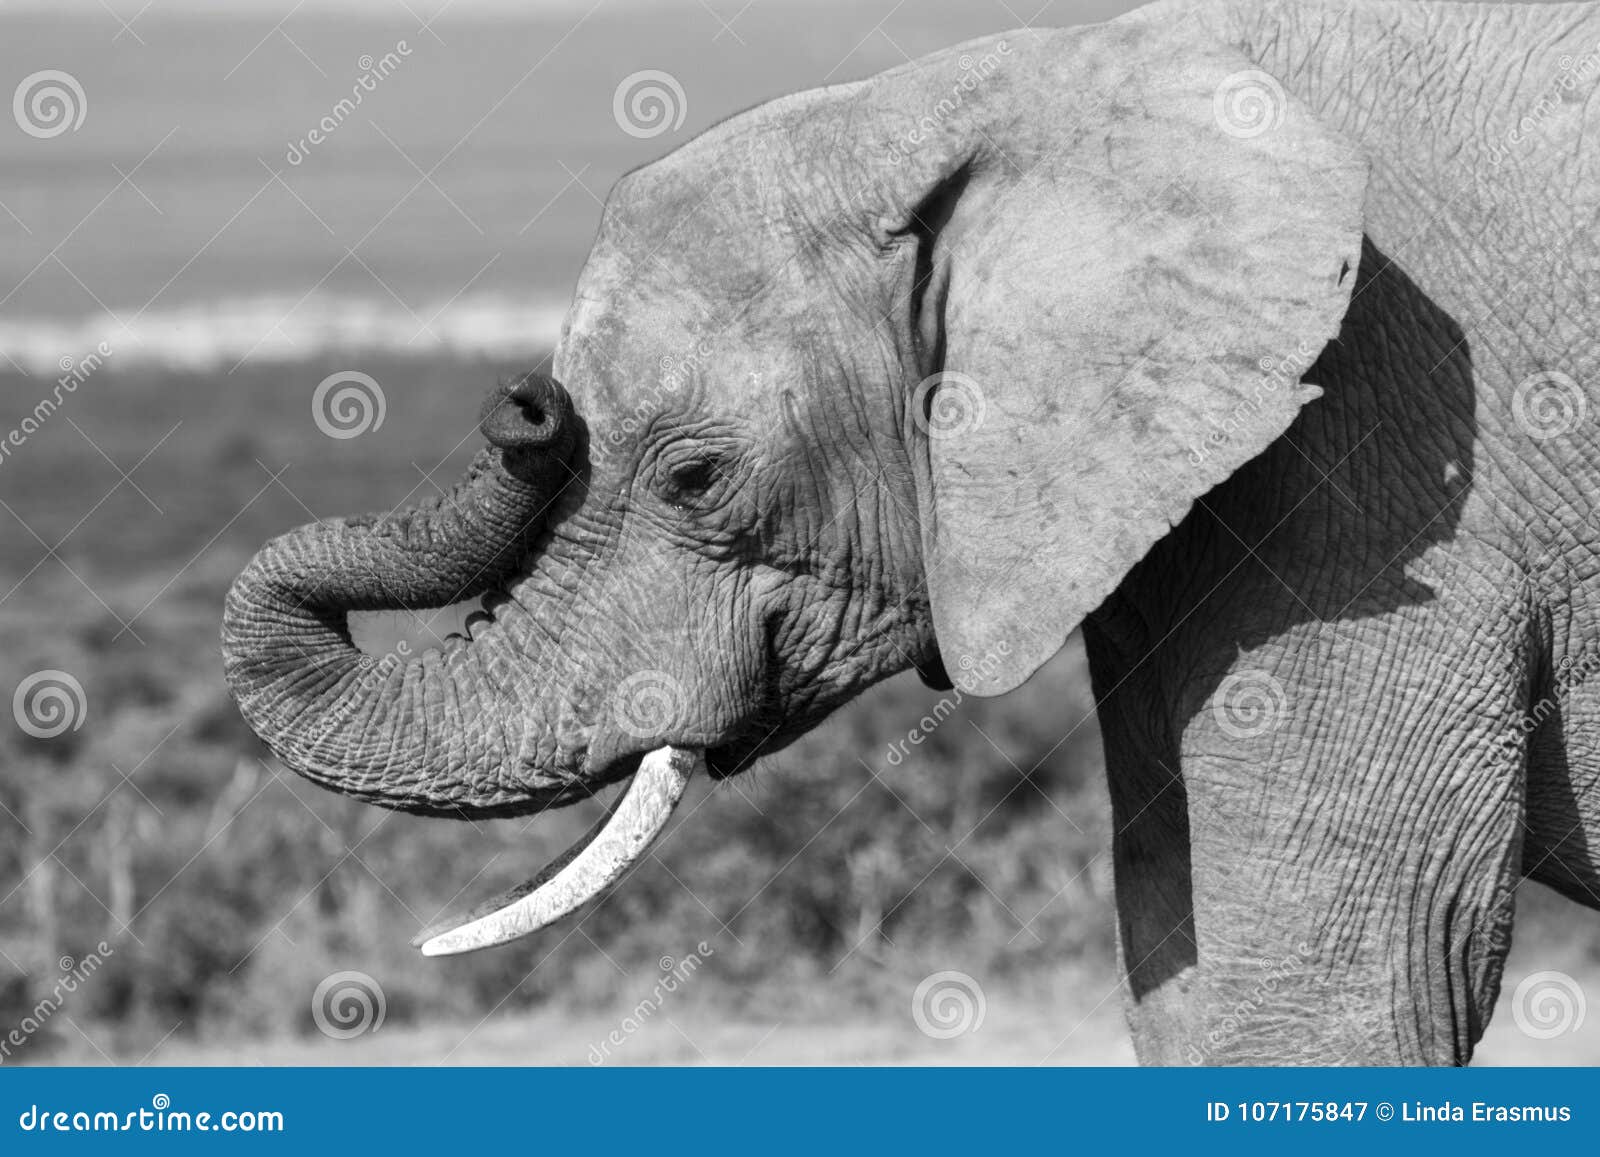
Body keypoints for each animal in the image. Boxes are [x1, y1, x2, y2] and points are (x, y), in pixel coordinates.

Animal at [221, 0, 1600, 1065]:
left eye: (695, 478)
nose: (526, 403)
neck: (1028, 84)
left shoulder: (1384, 464)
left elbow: (1353, 985)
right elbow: (1176, 953)